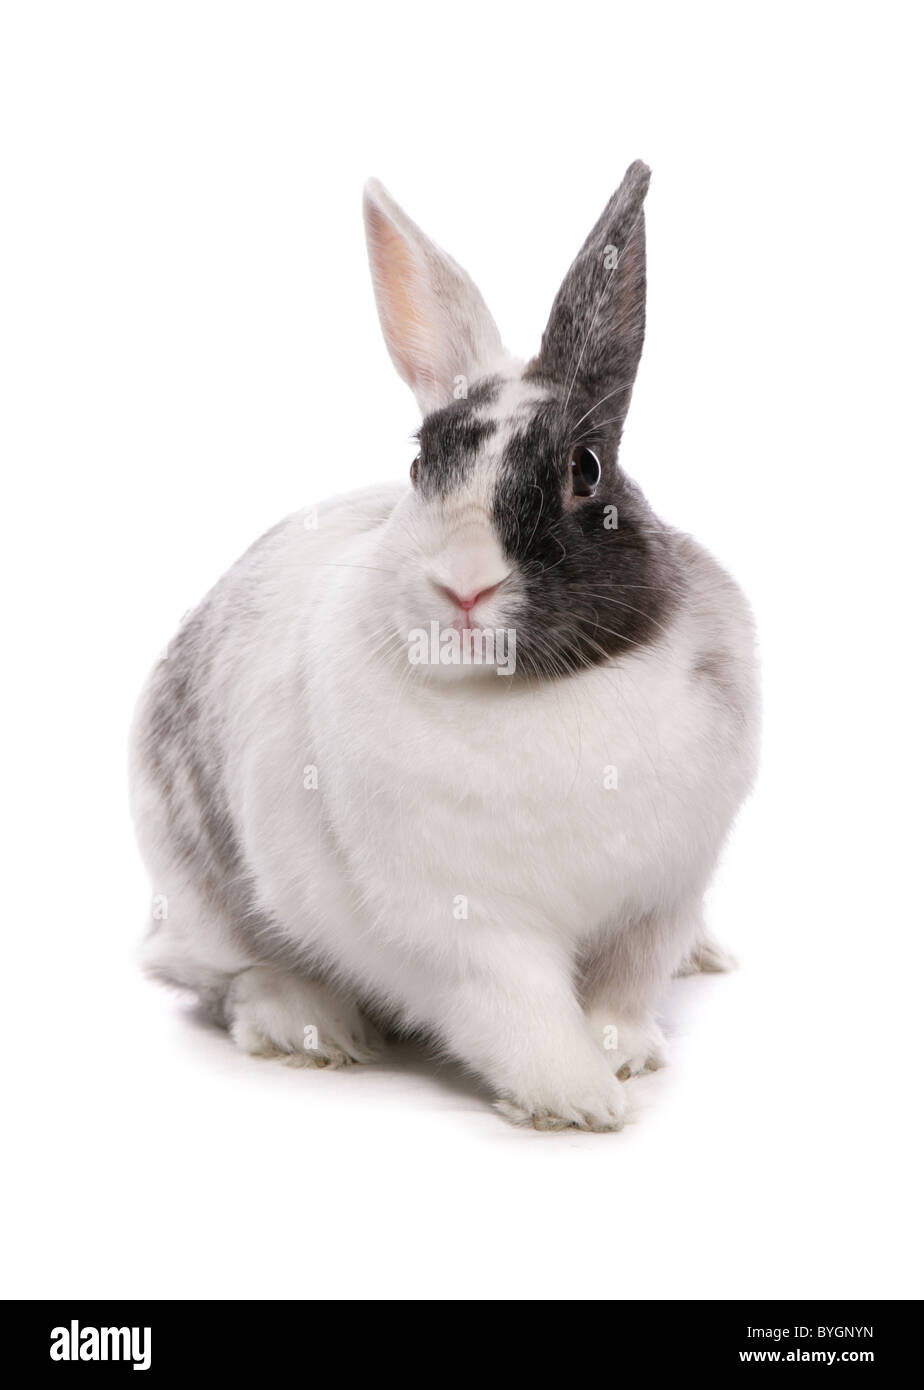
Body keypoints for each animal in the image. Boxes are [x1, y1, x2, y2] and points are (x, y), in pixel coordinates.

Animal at [130, 159, 759, 1132]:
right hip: (198, 889)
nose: (465, 586)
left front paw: (625, 1055)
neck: (533, 698)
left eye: (585, 469)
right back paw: (312, 1026)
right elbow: (523, 1013)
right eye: (422, 464)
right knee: (216, 970)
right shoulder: (470, 935)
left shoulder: (659, 899)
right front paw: (583, 1101)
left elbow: (624, 987)